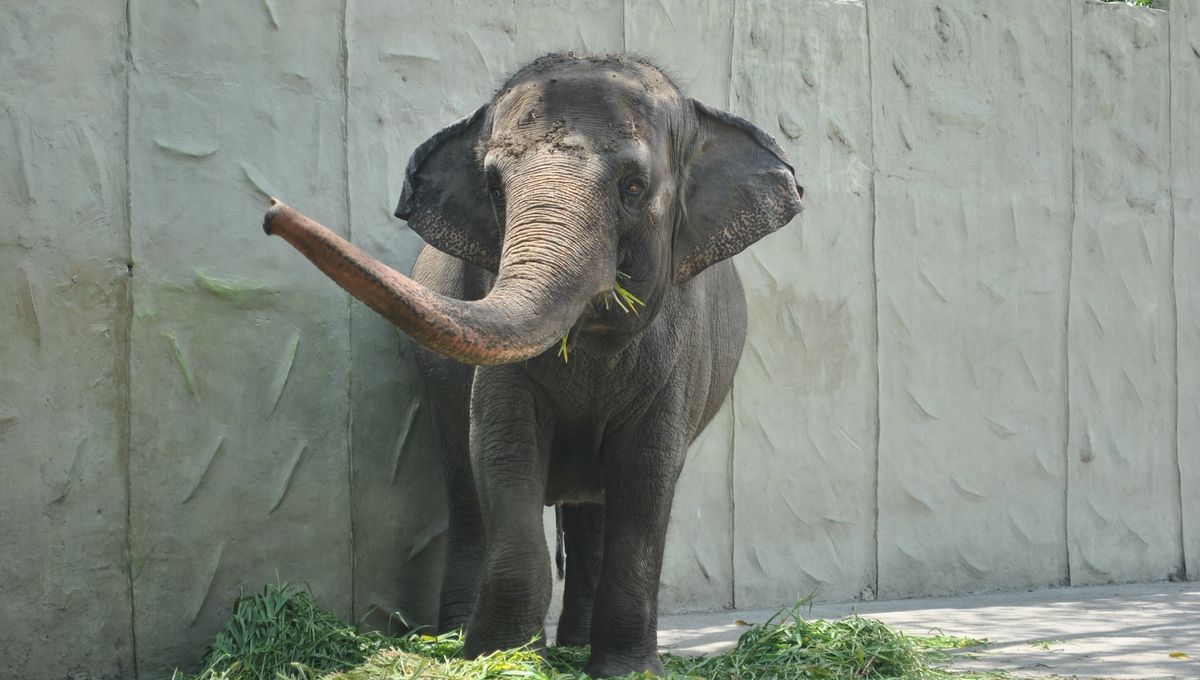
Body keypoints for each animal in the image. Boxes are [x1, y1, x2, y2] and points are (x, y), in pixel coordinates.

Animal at [262, 52, 803, 677]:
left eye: (634, 187)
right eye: (495, 186)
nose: (271, 211)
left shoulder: (680, 349)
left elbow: (648, 471)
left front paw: (627, 670)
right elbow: (503, 449)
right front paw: (500, 658)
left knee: (593, 508)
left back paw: (574, 644)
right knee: (466, 491)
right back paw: (458, 637)